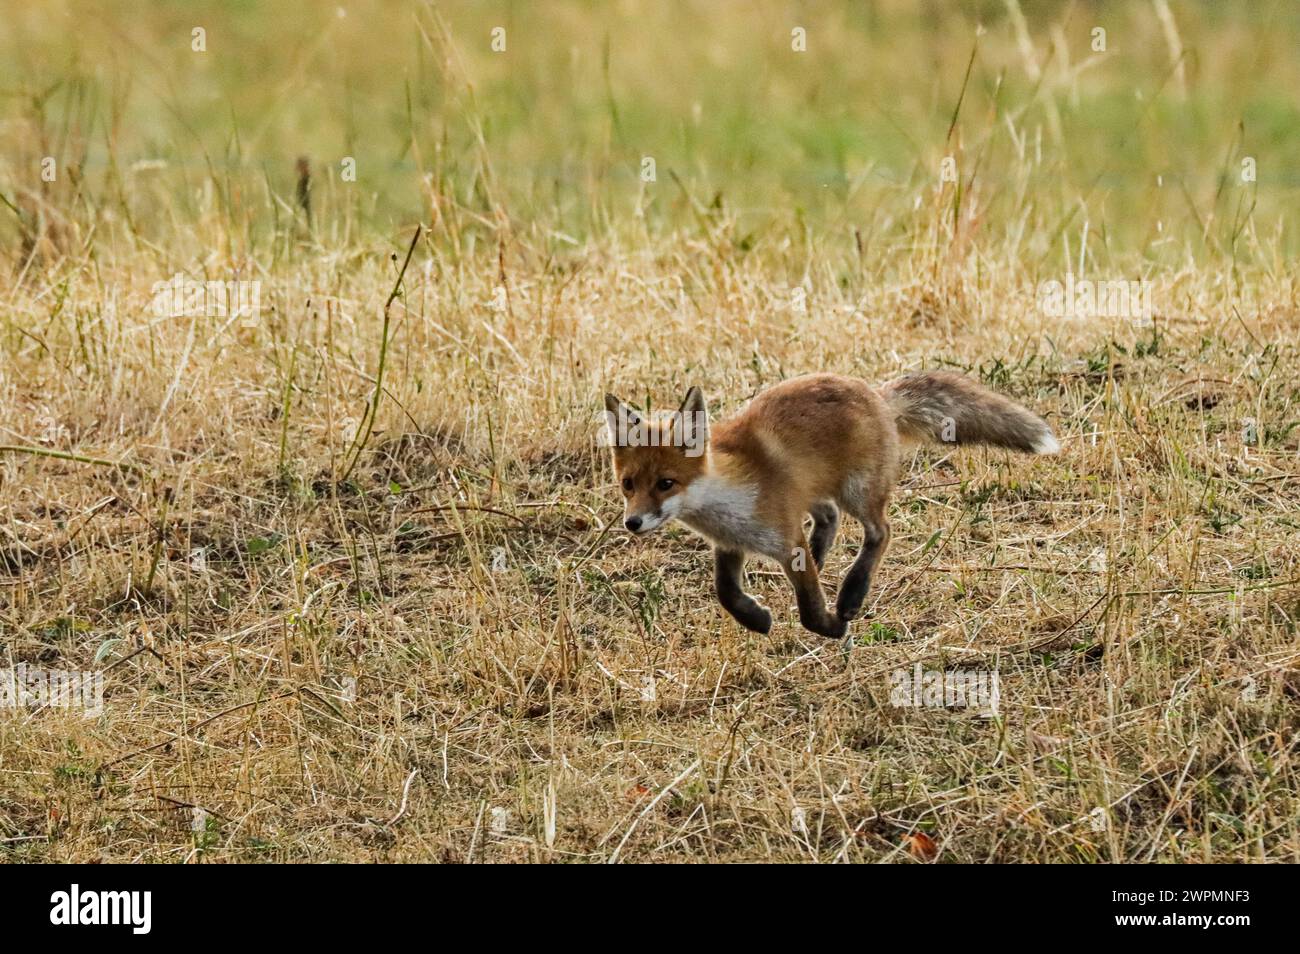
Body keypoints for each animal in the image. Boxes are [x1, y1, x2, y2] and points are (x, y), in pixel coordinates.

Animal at [604, 372, 1059, 639]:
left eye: (666, 484)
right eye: (628, 484)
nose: (632, 522)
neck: (724, 496)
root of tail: (876, 393)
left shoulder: (786, 537)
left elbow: (807, 604)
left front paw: (831, 626)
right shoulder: (732, 544)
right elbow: (726, 592)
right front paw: (757, 619)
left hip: (858, 491)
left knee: (880, 532)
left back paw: (852, 592)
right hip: (822, 492)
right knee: (829, 518)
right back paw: (824, 560)